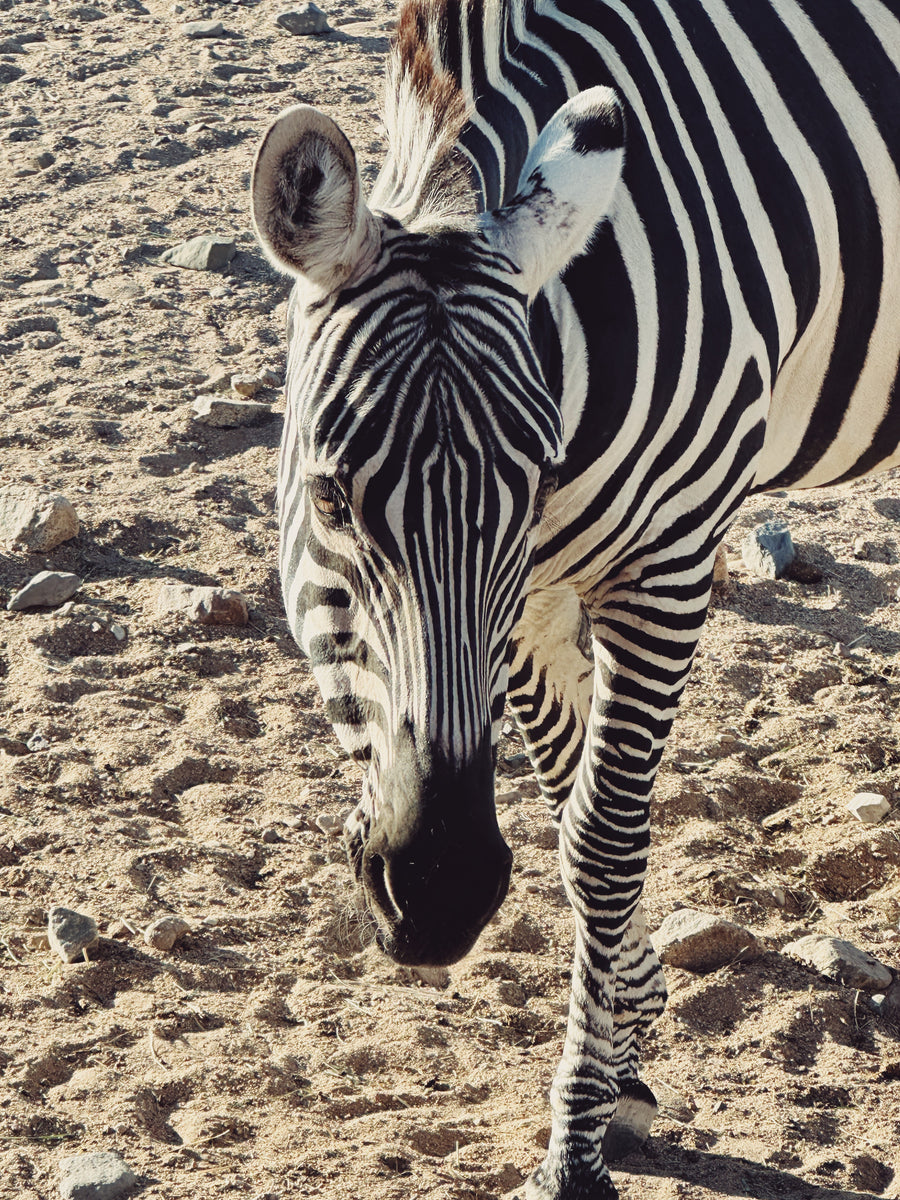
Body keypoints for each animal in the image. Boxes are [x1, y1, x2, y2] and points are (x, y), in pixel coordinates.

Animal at [251, 0, 900, 1196]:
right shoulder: (529, 607)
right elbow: (563, 804)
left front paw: (579, 1136)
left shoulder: (668, 562)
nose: (443, 894)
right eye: (329, 495)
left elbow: (604, 833)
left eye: (538, 476)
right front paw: (630, 1040)